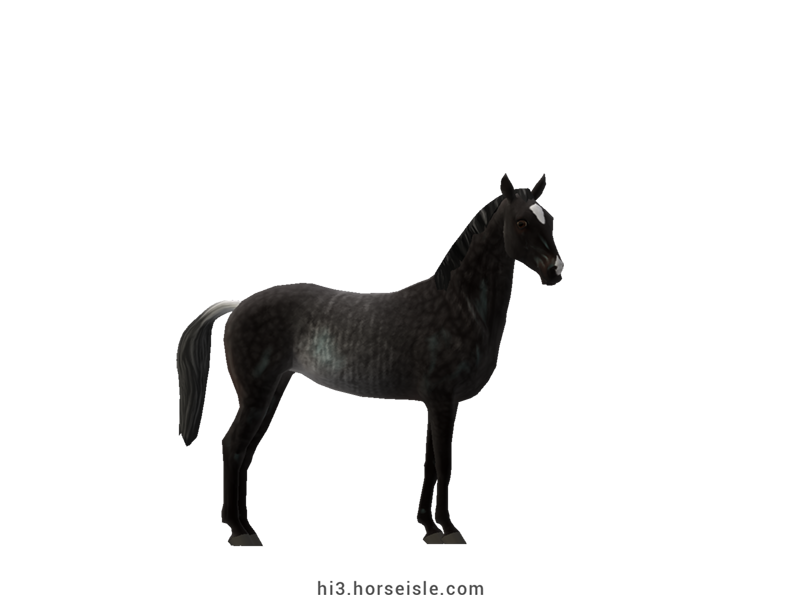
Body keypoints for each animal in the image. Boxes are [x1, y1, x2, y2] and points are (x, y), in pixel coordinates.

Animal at [176, 175, 564, 542]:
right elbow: (445, 462)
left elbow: (430, 464)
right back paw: (239, 530)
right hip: (257, 394)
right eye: (521, 221)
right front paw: (449, 527)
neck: (461, 305)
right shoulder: (443, 397)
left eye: (546, 216)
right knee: (233, 447)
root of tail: (236, 307)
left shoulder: (434, 399)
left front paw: (428, 525)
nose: (555, 270)